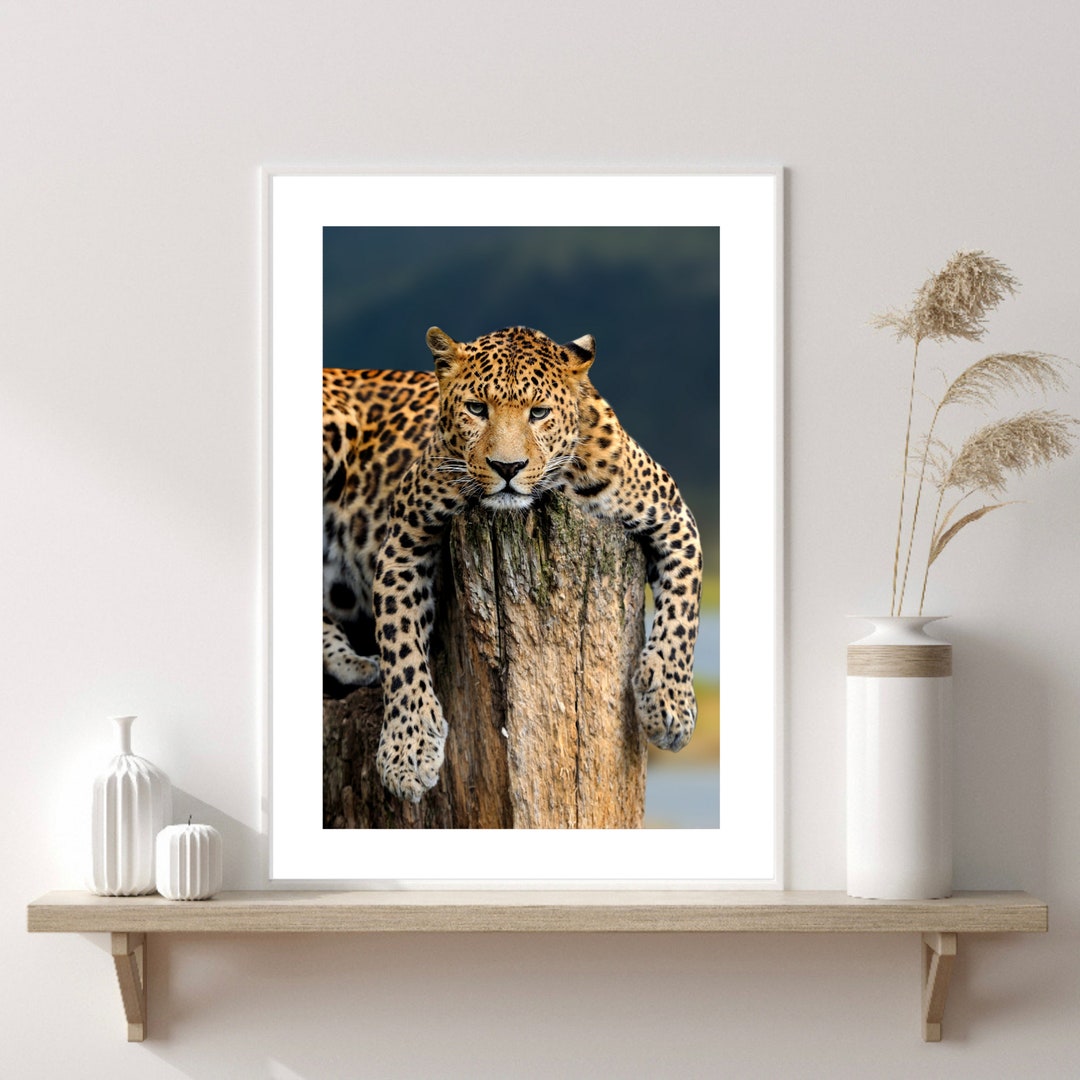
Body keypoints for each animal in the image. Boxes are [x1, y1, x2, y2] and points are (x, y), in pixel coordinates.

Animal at [323, 325, 702, 803]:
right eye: (476, 408)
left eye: (538, 413)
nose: (507, 467)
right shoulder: (404, 539)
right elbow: (401, 645)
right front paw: (408, 753)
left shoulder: (673, 517)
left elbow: (683, 614)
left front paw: (669, 707)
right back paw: (355, 662)